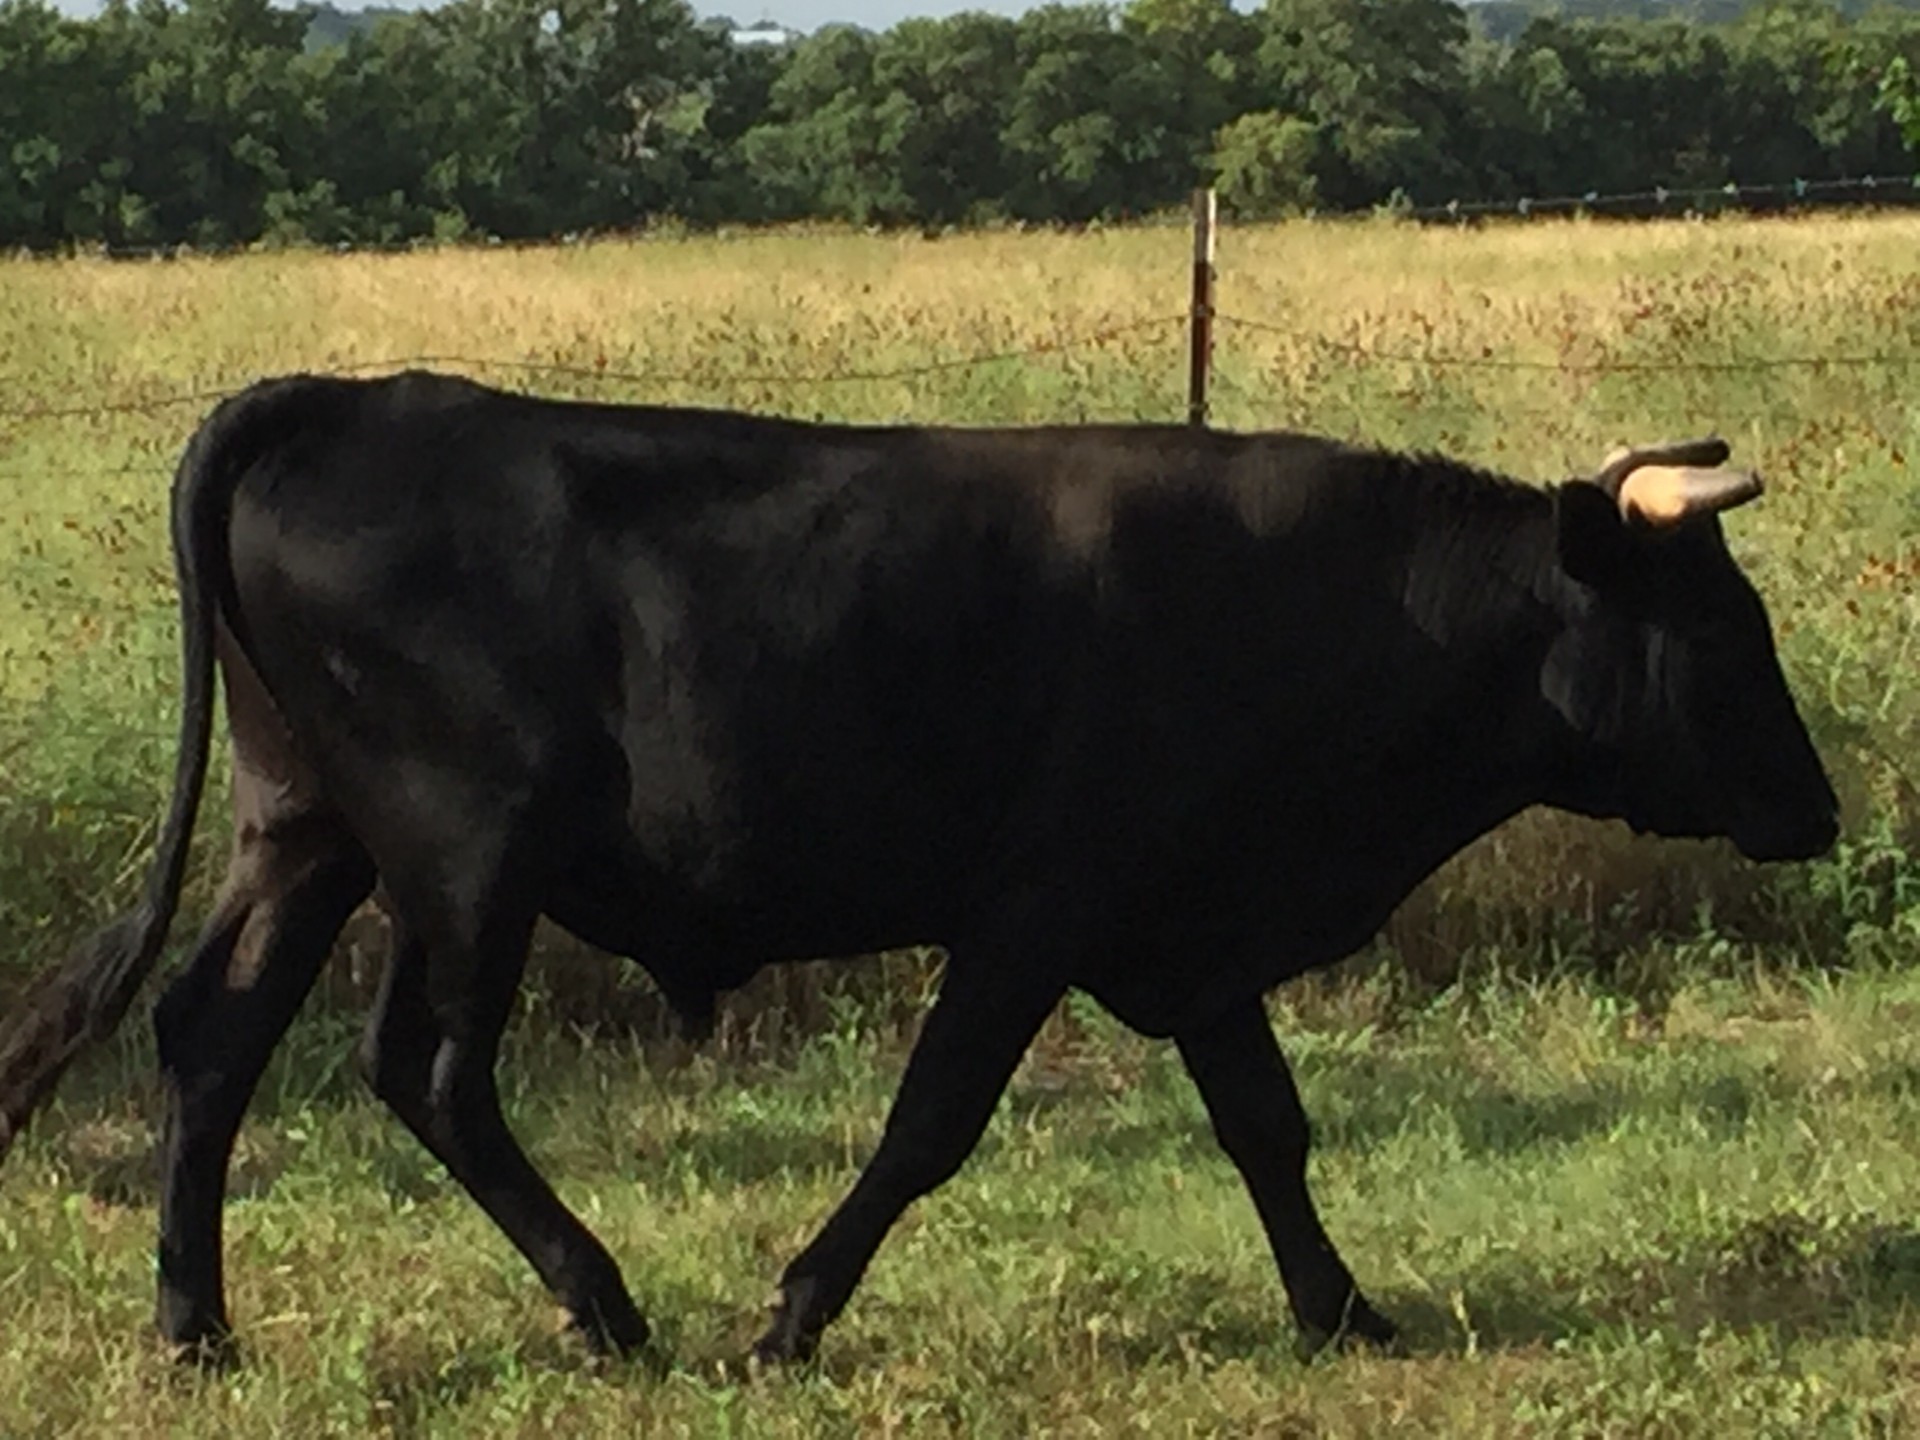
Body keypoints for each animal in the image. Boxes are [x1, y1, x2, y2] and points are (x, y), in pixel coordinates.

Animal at [0, 371, 1836, 1367]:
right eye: (1717, 631)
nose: (1820, 810)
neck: (1325, 603)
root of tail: (350, 396)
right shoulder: (1038, 911)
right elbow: (930, 1123)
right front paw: (792, 1314)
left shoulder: (1185, 926)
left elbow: (1266, 1124)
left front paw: (1342, 1310)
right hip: (464, 857)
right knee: (429, 1071)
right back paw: (604, 1303)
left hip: (304, 832)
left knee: (213, 1040)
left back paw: (196, 1327)